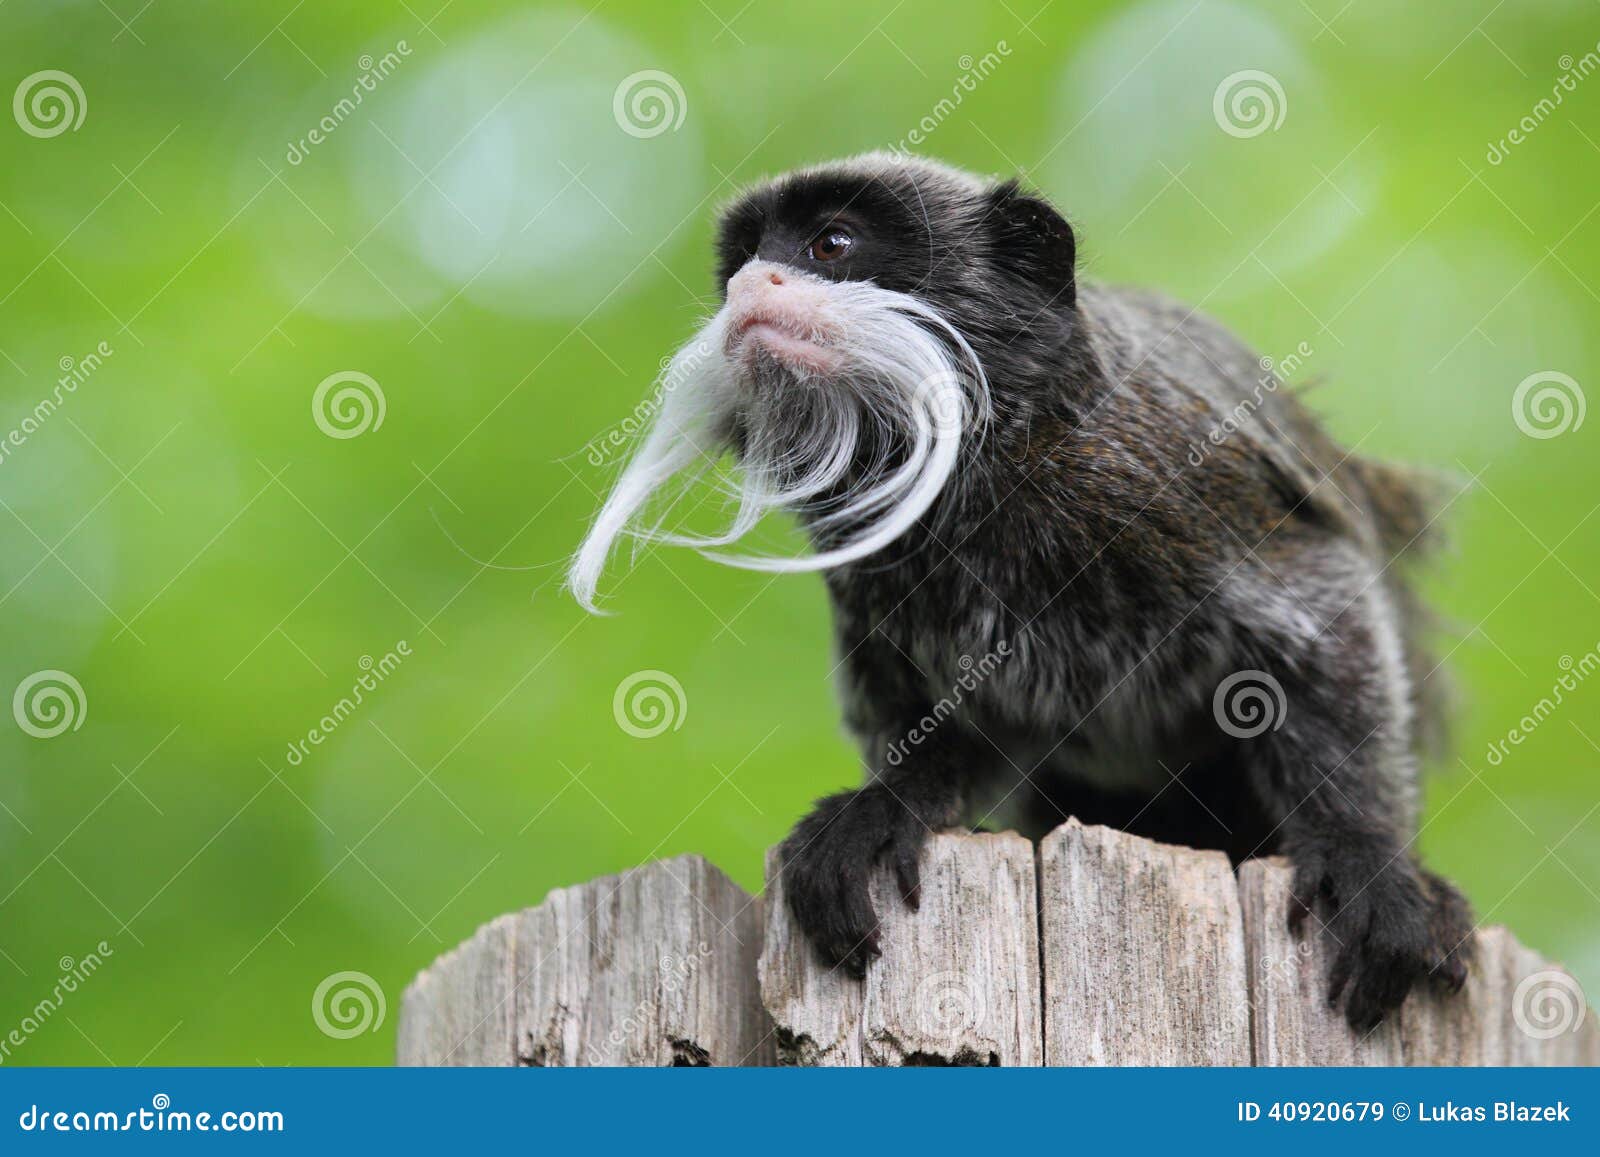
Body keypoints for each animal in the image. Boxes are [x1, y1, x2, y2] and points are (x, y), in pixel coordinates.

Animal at [570, 152, 1474, 1031]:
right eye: (741, 264)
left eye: (830, 244)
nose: (755, 285)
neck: (1002, 458)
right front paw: (892, 801)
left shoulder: (1178, 471)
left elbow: (1324, 614)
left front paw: (1368, 859)